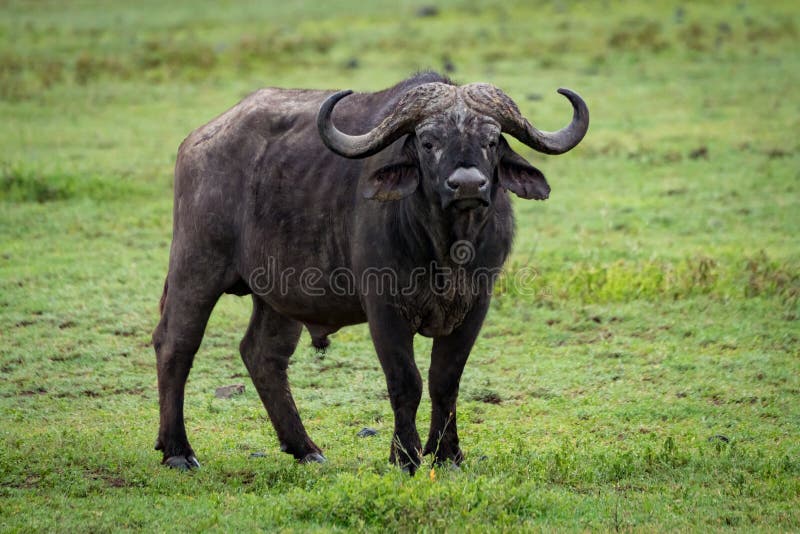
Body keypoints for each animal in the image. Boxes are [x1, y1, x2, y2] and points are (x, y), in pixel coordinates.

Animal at [152, 71, 588, 473]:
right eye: (428, 142)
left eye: (492, 140)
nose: (467, 185)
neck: (446, 249)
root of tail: (198, 141)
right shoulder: (384, 309)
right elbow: (406, 381)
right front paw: (405, 457)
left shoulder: (475, 306)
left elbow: (445, 381)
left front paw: (448, 455)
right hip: (196, 266)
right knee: (175, 345)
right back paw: (178, 450)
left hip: (279, 296)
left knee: (262, 354)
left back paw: (305, 448)